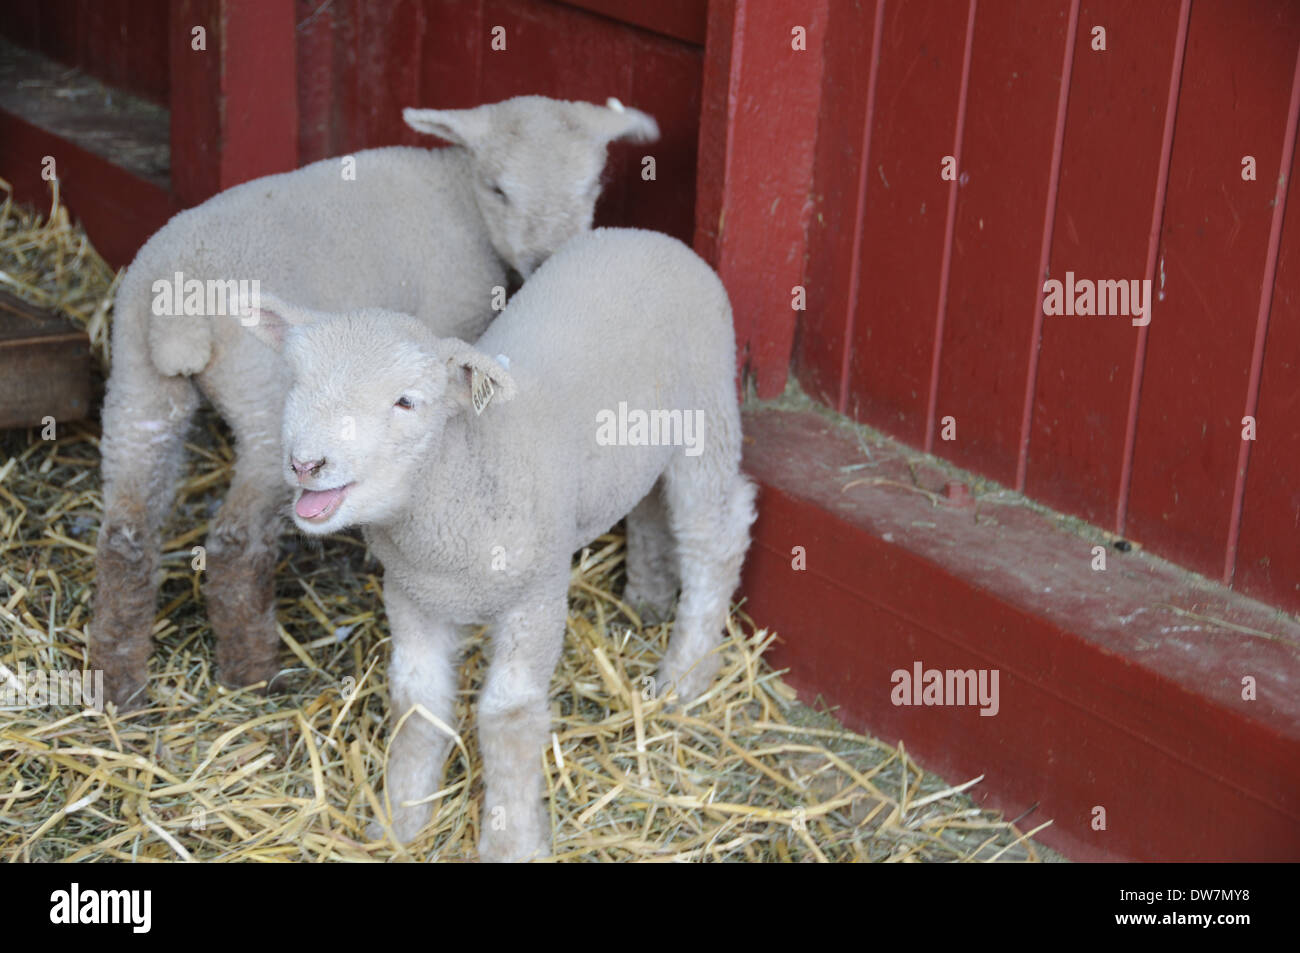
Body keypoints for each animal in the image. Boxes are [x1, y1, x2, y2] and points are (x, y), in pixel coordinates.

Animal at [91, 96, 659, 709]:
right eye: (498, 188)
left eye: (592, 184)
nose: (547, 257)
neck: (455, 188)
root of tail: (178, 319)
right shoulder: (454, 321)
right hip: (266, 409)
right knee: (234, 543)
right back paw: (254, 670)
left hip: (137, 387)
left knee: (125, 538)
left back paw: (117, 682)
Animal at [246, 227, 757, 862]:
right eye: (295, 382)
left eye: (407, 402)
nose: (306, 463)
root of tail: (648, 235)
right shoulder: (411, 595)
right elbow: (417, 704)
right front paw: (401, 819)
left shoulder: (535, 597)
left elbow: (507, 716)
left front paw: (510, 839)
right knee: (648, 509)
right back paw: (648, 596)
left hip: (707, 415)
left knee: (715, 534)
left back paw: (686, 676)